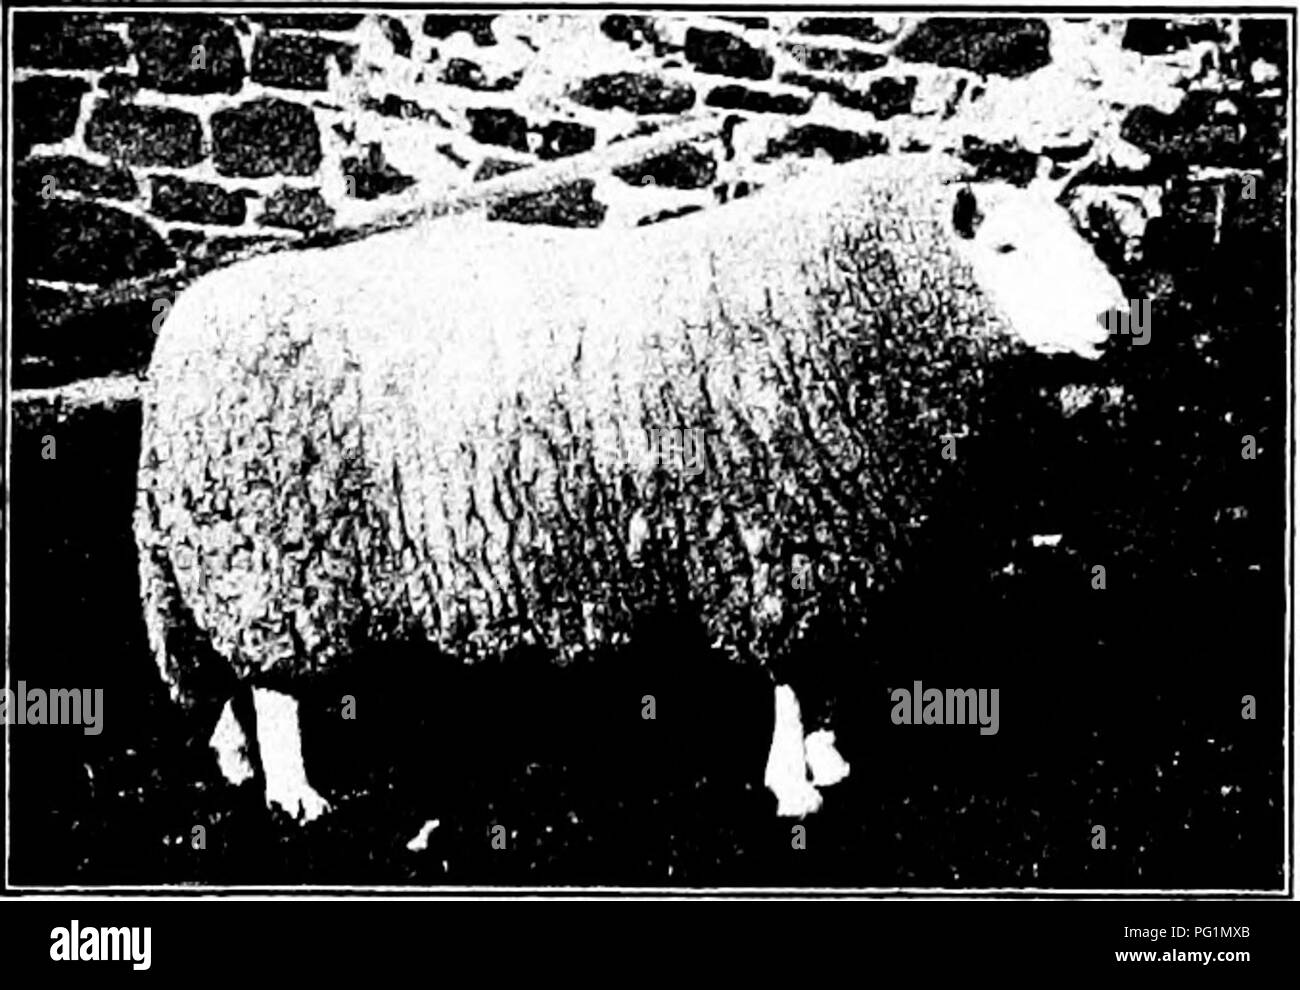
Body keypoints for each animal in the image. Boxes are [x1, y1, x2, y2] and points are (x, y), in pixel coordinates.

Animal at [134, 149, 1126, 822]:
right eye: (1006, 246)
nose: (1119, 322)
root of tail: (182, 329)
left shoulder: (833, 529)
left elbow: (825, 657)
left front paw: (828, 755)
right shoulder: (769, 530)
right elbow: (788, 670)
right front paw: (792, 783)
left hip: (220, 549)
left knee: (227, 670)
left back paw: (235, 759)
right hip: (273, 547)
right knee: (273, 683)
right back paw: (294, 792)